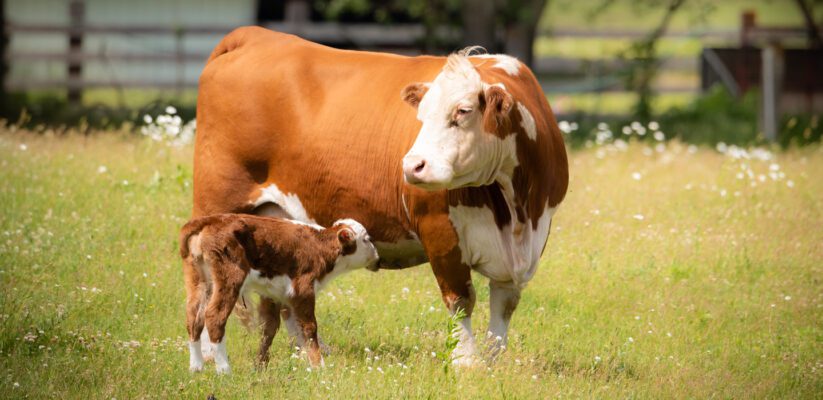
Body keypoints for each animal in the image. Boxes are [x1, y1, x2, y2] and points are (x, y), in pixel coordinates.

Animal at [193, 26, 568, 365]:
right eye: (421, 115)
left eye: (463, 111)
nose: (412, 165)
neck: (516, 211)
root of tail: (256, 35)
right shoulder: (440, 231)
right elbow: (461, 299)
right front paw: (466, 363)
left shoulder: (529, 244)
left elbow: (504, 306)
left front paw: (492, 363)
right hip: (217, 208)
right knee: (209, 290)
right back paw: (212, 355)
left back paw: (307, 353)